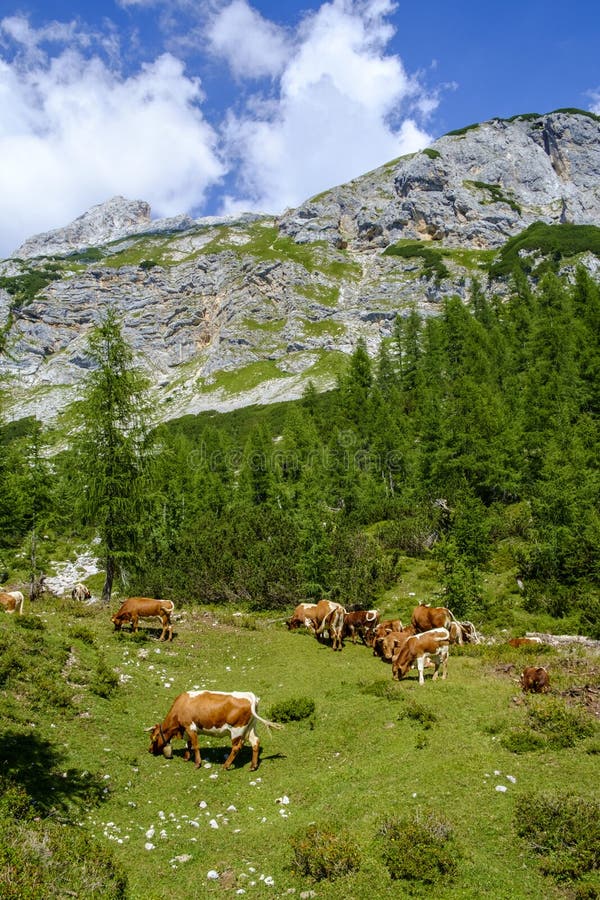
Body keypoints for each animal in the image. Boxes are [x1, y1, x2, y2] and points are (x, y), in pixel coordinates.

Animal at [146, 689, 283, 771]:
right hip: (251, 728)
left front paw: (197, 763)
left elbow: (195, 745)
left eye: (153, 739)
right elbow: (188, 743)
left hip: (237, 730)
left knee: (236, 747)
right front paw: (186, 757)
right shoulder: (185, 728)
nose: (149, 750)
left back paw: (226, 765)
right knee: (255, 742)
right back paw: (253, 766)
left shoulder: (190, 727)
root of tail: (250, 695)